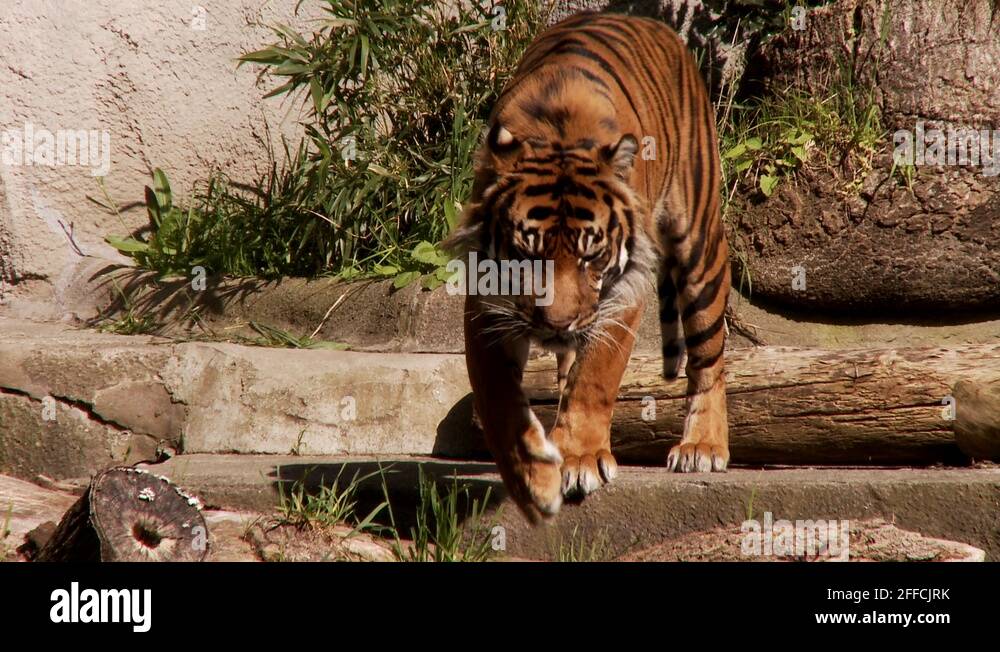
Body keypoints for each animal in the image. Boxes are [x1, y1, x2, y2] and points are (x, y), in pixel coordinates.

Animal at [444, 11, 731, 522]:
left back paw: (703, 445)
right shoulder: (486, 298)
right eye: (526, 254)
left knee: (709, 355)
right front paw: (532, 476)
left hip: (698, 243)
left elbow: (597, 373)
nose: (557, 324)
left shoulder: (622, 294)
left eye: (591, 255)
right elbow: (496, 396)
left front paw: (578, 458)